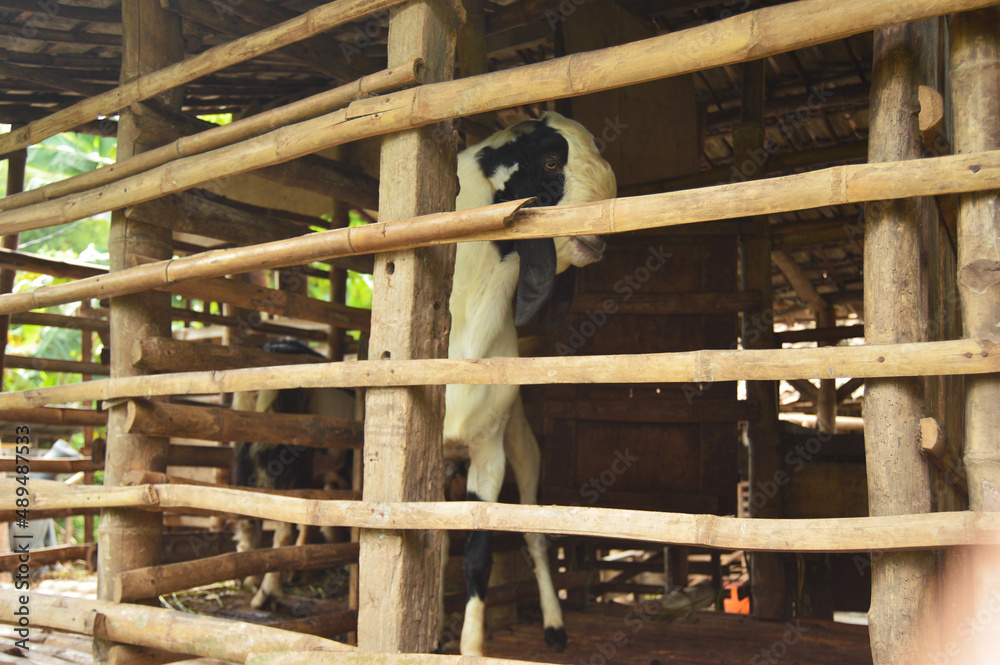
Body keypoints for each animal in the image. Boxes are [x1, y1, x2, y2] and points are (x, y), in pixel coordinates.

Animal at [445, 111, 616, 656]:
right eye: (550, 162)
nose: (598, 239)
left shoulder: (489, 450)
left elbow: (478, 556)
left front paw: (471, 650)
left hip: (523, 446)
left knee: (536, 535)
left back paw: (555, 627)